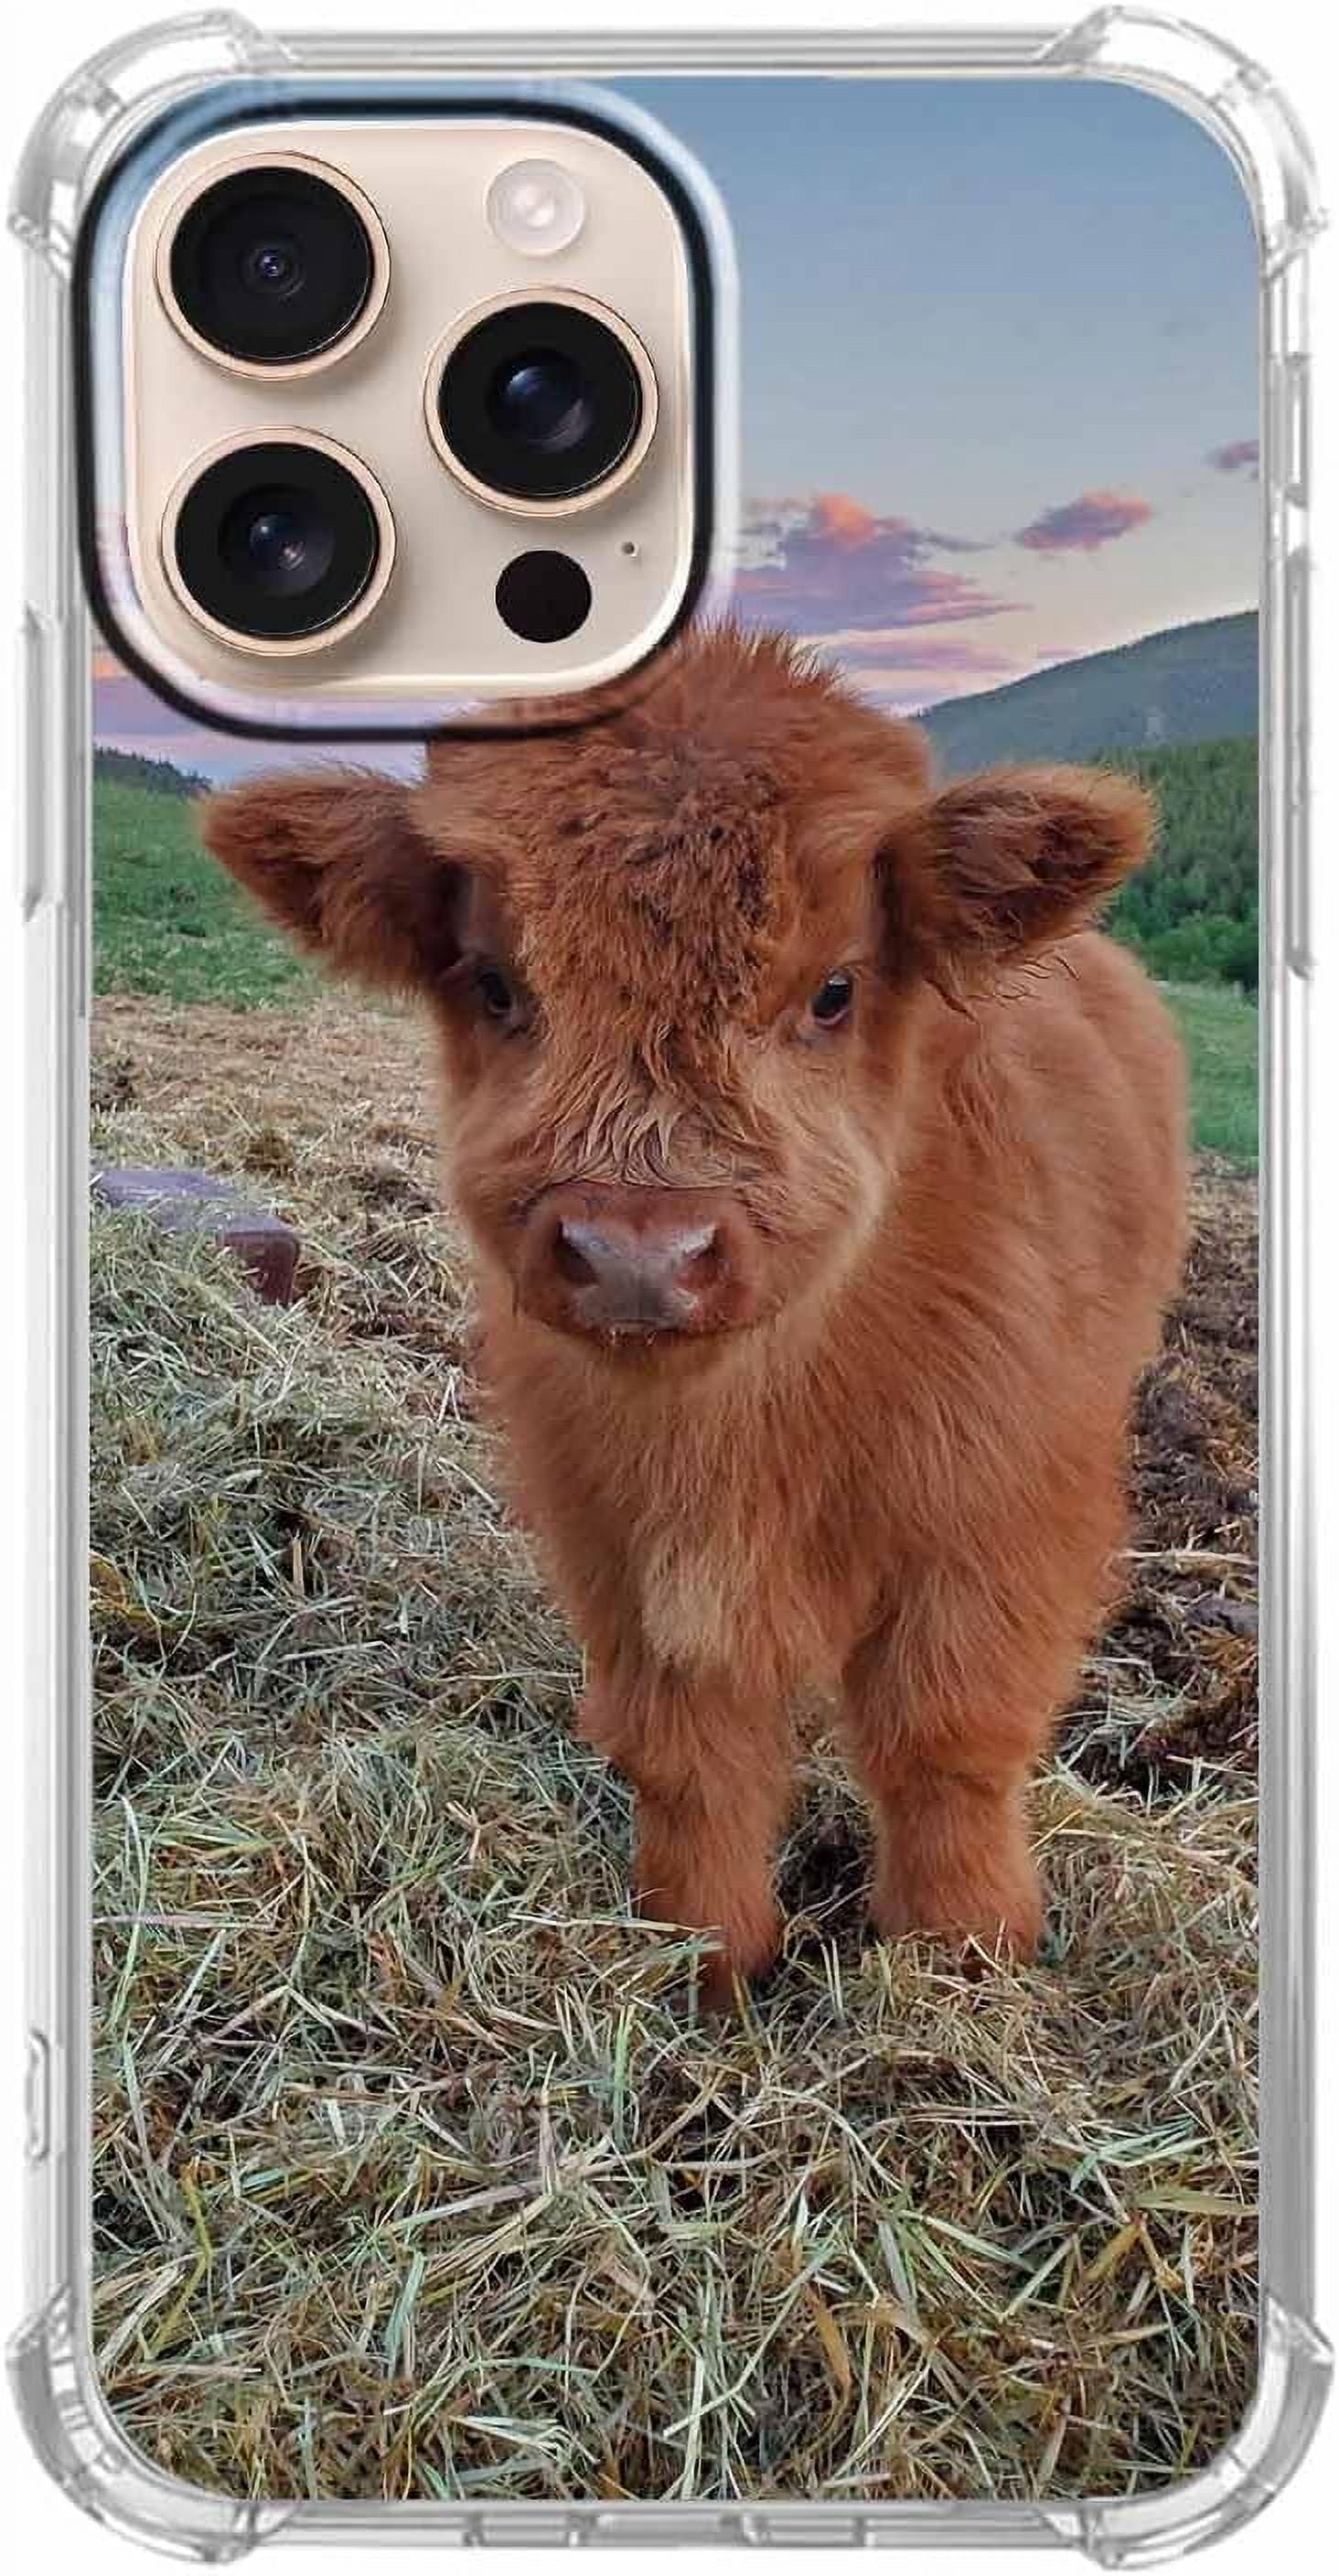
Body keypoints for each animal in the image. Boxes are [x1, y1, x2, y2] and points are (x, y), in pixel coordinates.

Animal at [202, 627, 1187, 2007]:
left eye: (833, 990)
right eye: (494, 982)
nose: (637, 1254)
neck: (748, 1430)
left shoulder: (1003, 1517)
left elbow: (946, 1733)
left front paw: (962, 1961)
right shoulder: (614, 1535)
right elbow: (687, 1750)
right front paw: (704, 1963)